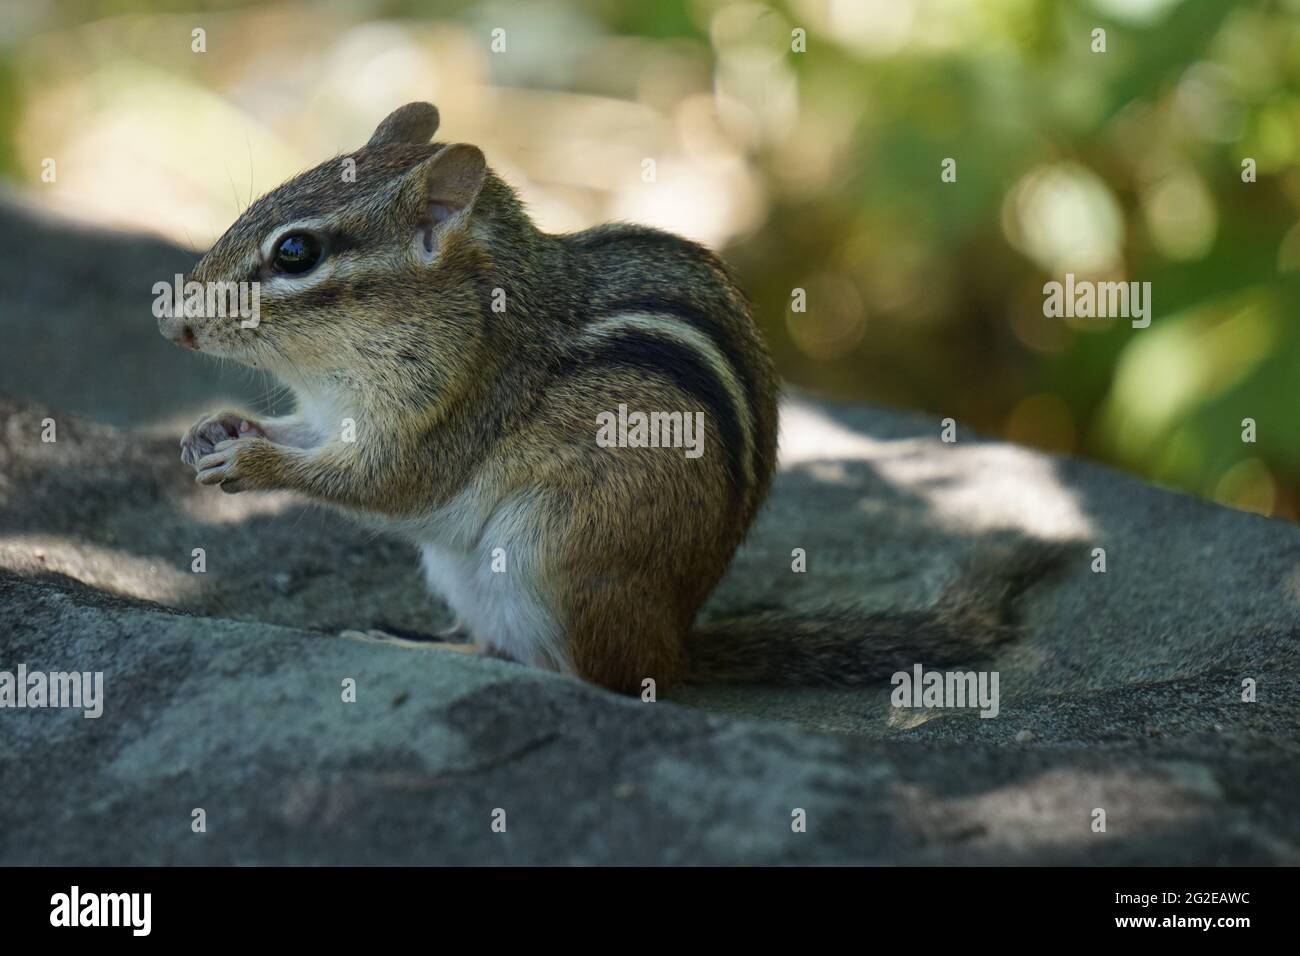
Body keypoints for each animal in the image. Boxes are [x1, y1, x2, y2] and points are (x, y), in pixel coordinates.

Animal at [159, 102, 1058, 695]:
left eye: (296, 253)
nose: (174, 320)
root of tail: (679, 644)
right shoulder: (331, 415)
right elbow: (307, 437)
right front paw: (216, 429)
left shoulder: (455, 413)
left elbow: (383, 484)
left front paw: (252, 461)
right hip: (468, 576)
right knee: (505, 654)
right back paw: (422, 647)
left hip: (553, 554)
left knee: (596, 683)